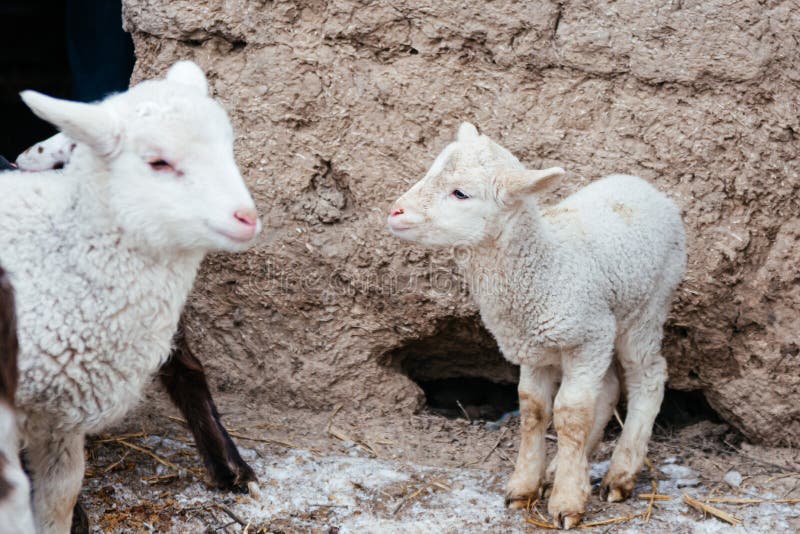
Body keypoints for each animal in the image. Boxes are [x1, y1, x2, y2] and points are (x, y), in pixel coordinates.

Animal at [387, 122, 686, 529]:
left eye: (461, 193)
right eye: (431, 171)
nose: (395, 211)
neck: (546, 266)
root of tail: (645, 187)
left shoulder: (586, 338)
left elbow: (571, 414)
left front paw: (567, 501)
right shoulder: (533, 346)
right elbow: (533, 410)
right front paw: (526, 485)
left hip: (646, 308)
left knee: (648, 378)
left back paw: (620, 474)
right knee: (608, 387)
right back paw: (562, 467)